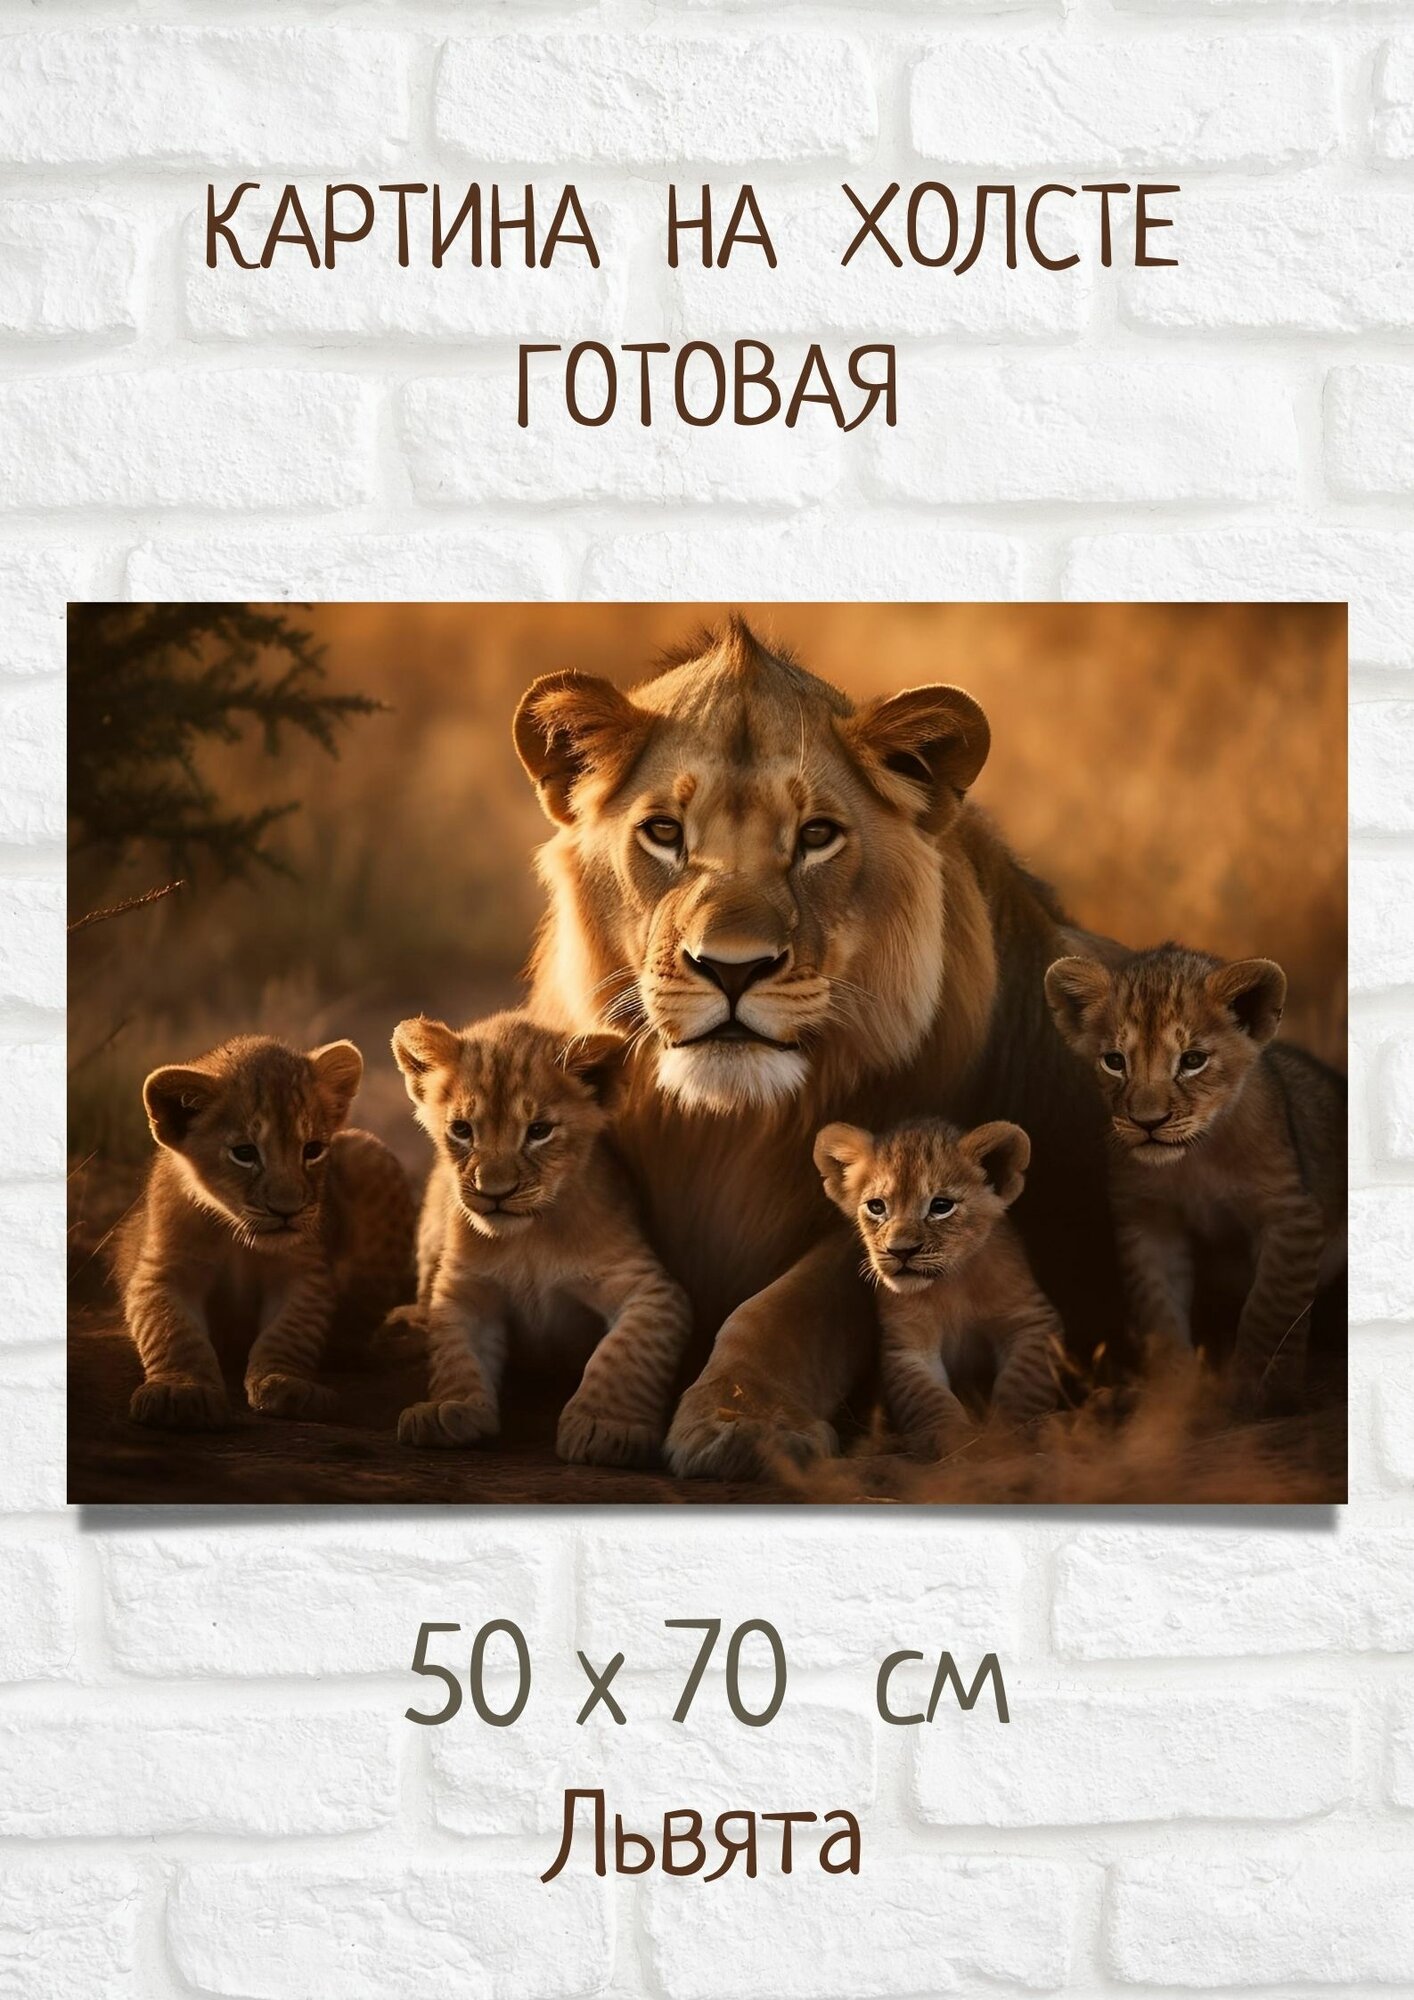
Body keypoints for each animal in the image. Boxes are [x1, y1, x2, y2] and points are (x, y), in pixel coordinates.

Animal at [513, 616, 1123, 1478]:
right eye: (664, 833)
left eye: (817, 836)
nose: (732, 967)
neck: (726, 1131)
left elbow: (788, 1306)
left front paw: (742, 1421)